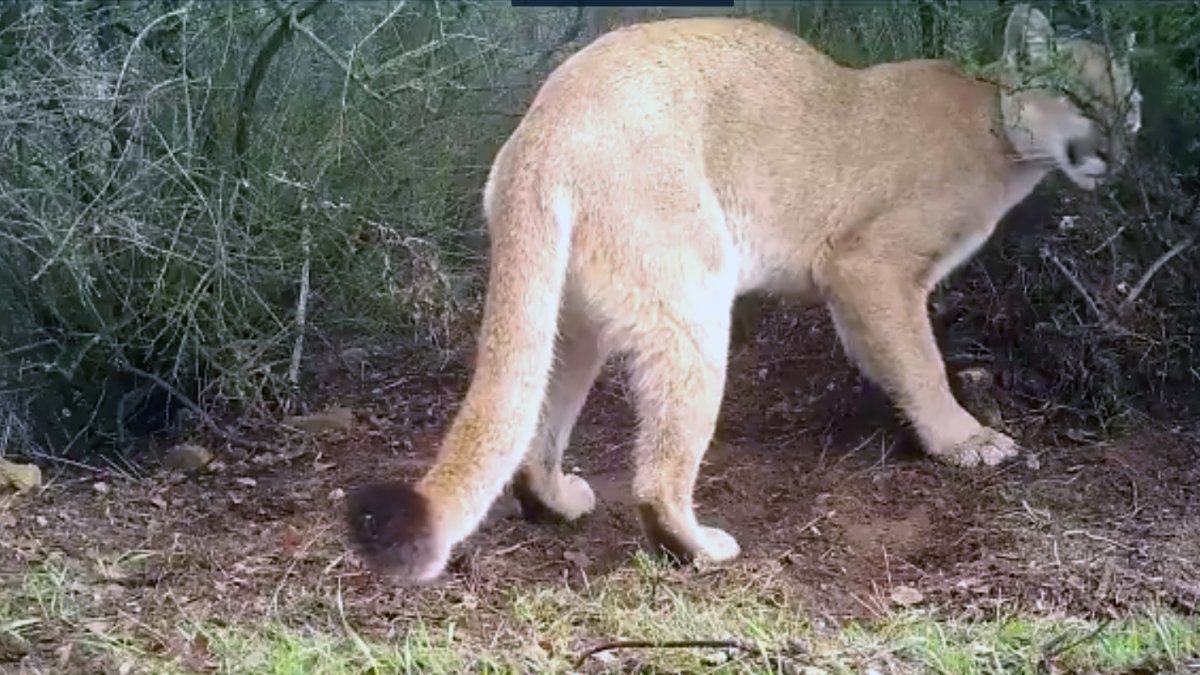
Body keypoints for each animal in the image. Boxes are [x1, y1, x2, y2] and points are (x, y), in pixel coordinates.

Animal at [344, 5, 1141, 582]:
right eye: (1076, 96)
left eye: (1127, 103)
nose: (1115, 152)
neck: (996, 129)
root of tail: (546, 124)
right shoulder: (869, 264)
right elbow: (920, 361)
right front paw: (963, 439)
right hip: (691, 296)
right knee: (657, 472)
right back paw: (698, 545)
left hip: (572, 313)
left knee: (536, 413)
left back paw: (560, 501)